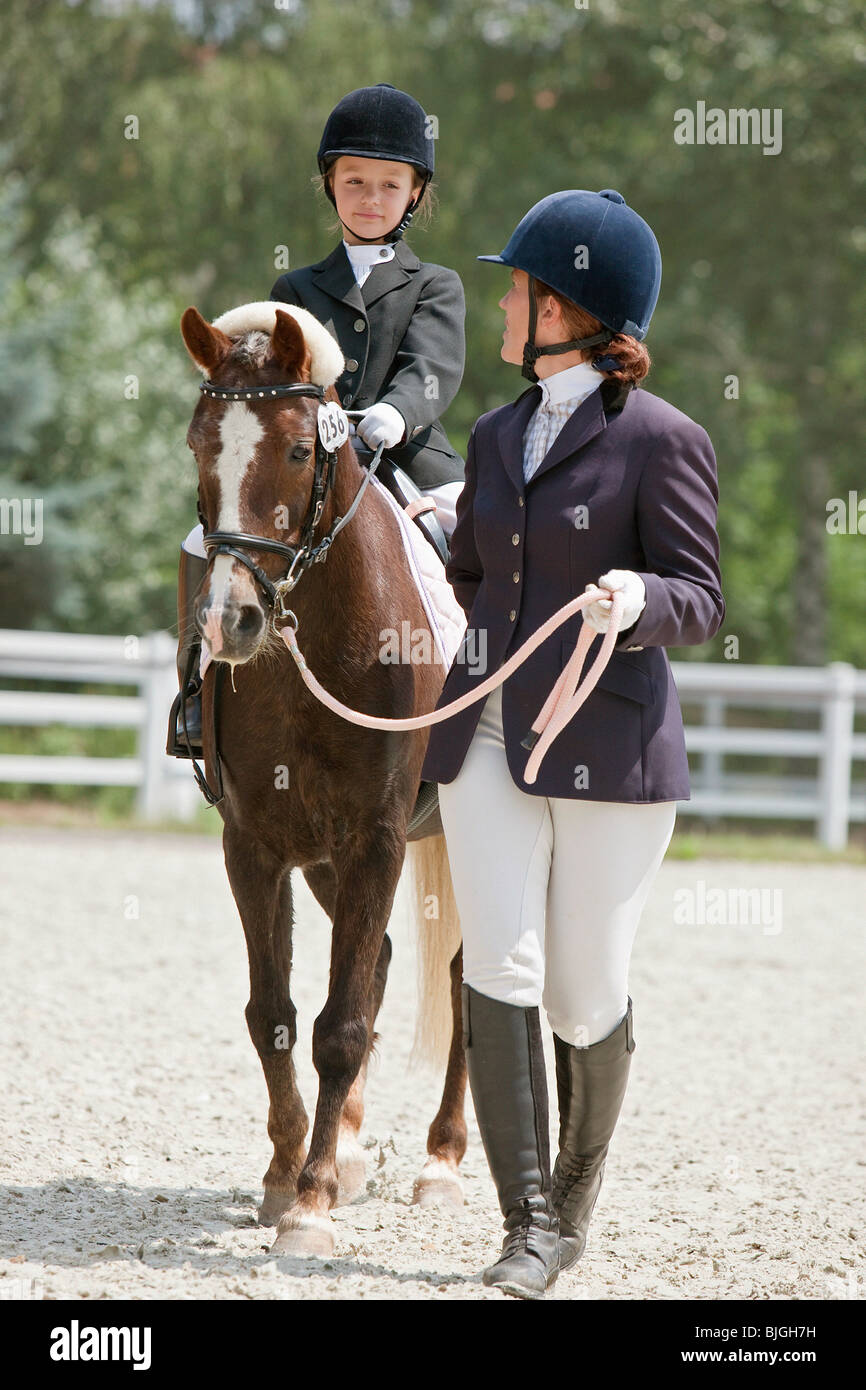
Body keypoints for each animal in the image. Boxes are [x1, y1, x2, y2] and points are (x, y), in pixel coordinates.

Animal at [179, 300, 467, 1257]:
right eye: (197, 444)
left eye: (303, 450)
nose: (231, 621)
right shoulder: (256, 845)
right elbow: (272, 1012)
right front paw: (287, 1177)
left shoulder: (378, 837)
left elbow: (338, 1026)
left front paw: (307, 1210)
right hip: (325, 859)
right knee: (379, 961)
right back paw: (346, 1152)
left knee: (462, 980)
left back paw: (441, 1162)